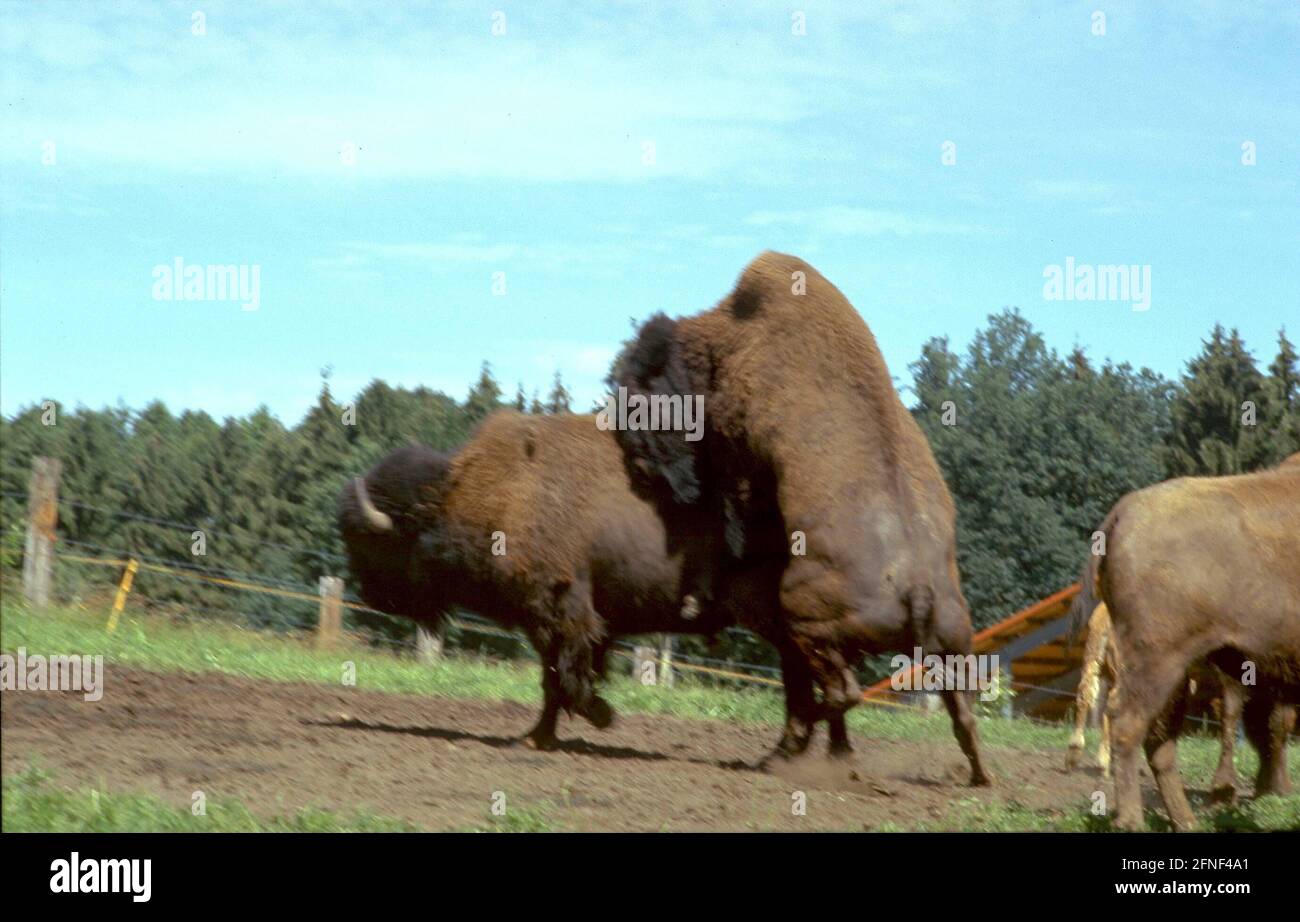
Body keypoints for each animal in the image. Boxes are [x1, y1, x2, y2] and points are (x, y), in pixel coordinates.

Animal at [610, 251, 990, 783]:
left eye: (642, 394)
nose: (633, 453)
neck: (725, 343)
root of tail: (918, 587)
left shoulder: (739, 458)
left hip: (803, 617)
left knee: (841, 693)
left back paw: (785, 753)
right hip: (953, 645)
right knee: (961, 714)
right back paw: (978, 776)